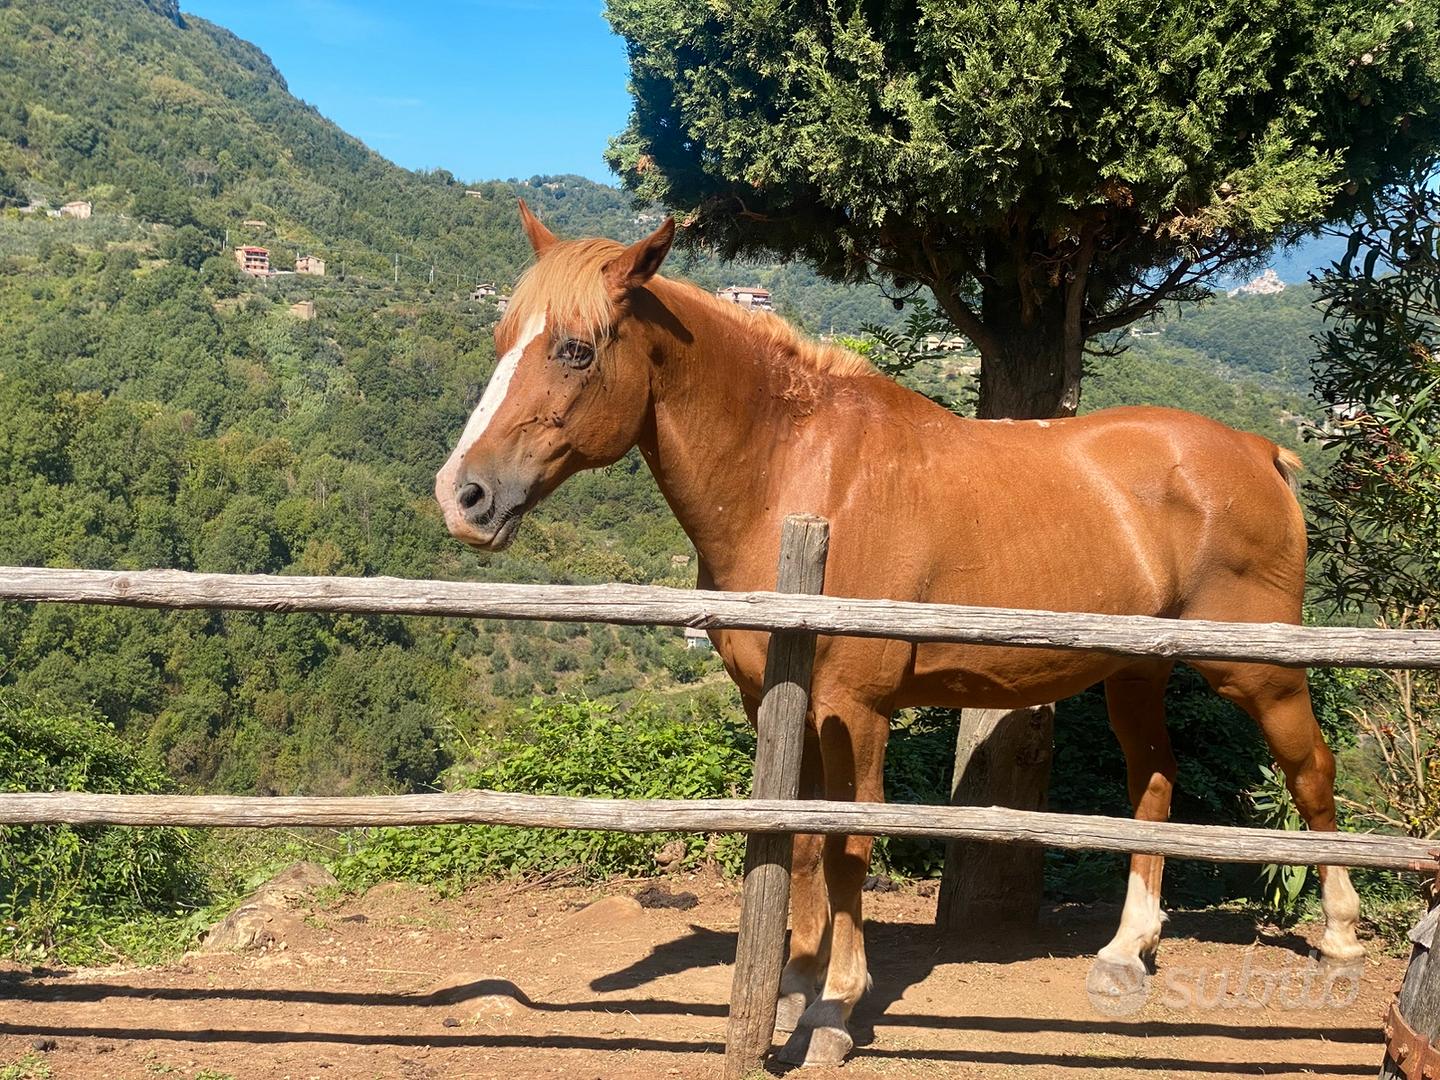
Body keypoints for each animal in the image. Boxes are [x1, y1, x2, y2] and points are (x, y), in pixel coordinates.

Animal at [435, 202, 1363, 1066]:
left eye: (576, 350)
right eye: (503, 338)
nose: (463, 495)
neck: (801, 476)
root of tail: (1256, 450)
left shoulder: (857, 707)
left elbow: (847, 846)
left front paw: (835, 1009)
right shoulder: (781, 701)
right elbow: (800, 841)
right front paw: (794, 984)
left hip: (1258, 672)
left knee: (1311, 773)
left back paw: (1343, 937)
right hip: (1135, 672)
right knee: (1154, 786)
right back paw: (1127, 953)